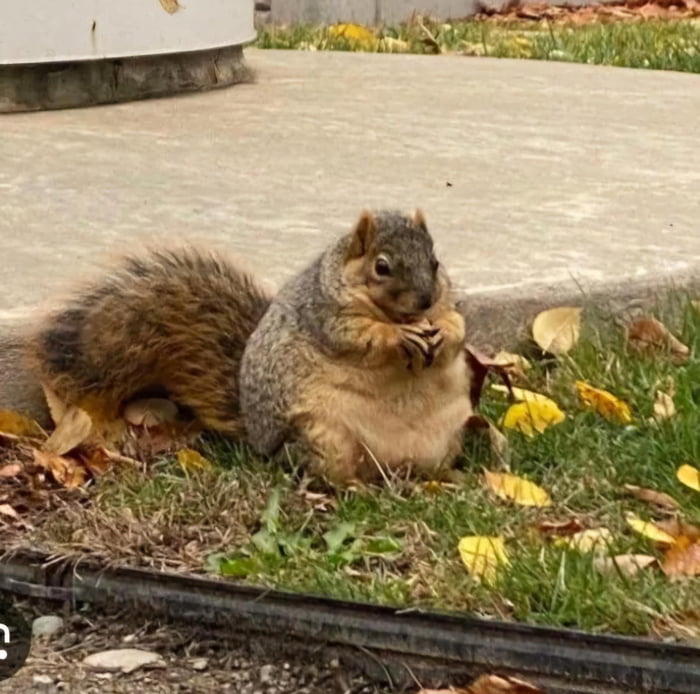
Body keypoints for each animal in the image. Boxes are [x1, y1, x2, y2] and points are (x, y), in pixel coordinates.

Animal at [29, 210, 472, 486]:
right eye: (382, 266)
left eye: (435, 262)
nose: (425, 300)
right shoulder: (325, 316)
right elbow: (358, 337)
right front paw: (397, 337)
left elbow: (458, 328)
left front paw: (443, 330)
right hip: (325, 439)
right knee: (323, 475)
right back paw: (353, 487)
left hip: (449, 438)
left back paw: (452, 478)